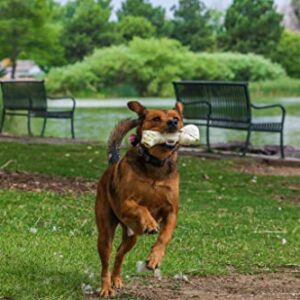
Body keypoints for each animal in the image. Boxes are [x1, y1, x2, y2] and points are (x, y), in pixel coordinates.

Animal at [95, 101, 184, 298]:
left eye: (176, 117)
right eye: (156, 118)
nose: (173, 123)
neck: (155, 163)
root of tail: (112, 164)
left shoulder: (171, 211)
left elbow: (164, 236)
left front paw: (155, 258)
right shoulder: (126, 203)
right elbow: (141, 208)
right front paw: (150, 223)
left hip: (132, 236)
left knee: (119, 254)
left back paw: (116, 279)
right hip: (105, 233)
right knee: (106, 262)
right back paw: (106, 287)